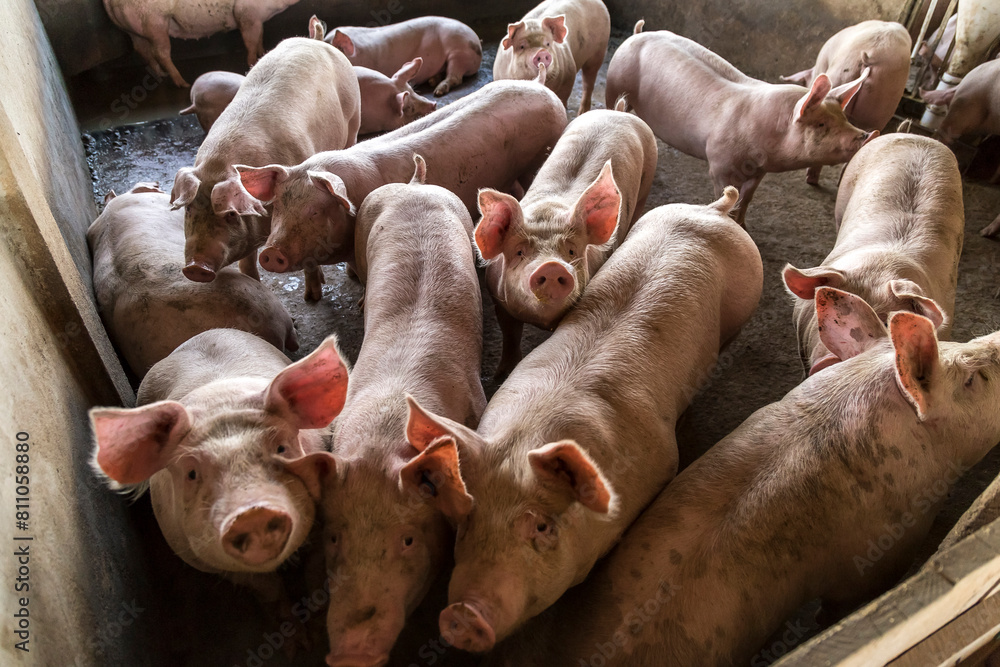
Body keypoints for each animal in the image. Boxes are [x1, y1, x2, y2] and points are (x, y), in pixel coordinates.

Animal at [89, 329, 348, 608]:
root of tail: (203, 334)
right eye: (191, 474)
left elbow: (314, 571)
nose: (252, 513)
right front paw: (285, 615)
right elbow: (268, 590)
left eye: (281, 448)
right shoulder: (204, 560)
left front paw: (317, 607)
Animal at [103, 0, 301, 87]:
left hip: (133, 30)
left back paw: (161, 75)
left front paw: (263, 53)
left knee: (141, 49)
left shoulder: (258, 19)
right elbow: (250, 41)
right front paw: (253, 63)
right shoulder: (247, 14)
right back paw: (183, 83)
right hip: (154, 21)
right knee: (160, 52)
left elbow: (259, 38)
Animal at [169, 37, 360, 302]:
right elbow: (247, 265)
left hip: (354, 119)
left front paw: (311, 298)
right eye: (189, 210)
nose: (196, 267)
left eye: (231, 215)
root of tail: (315, 41)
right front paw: (255, 285)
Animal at [474, 103, 658, 377]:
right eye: (519, 252)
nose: (551, 266)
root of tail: (618, 112)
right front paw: (501, 375)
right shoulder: (499, 301)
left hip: (648, 175)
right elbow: (510, 337)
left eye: (571, 252)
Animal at [607, 28, 875, 227]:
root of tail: (636, 34)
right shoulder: (719, 164)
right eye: (820, 123)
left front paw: (743, 225)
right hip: (615, 81)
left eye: (844, 118)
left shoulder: (760, 169)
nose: (868, 135)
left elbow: (748, 197)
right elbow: (726, 193)